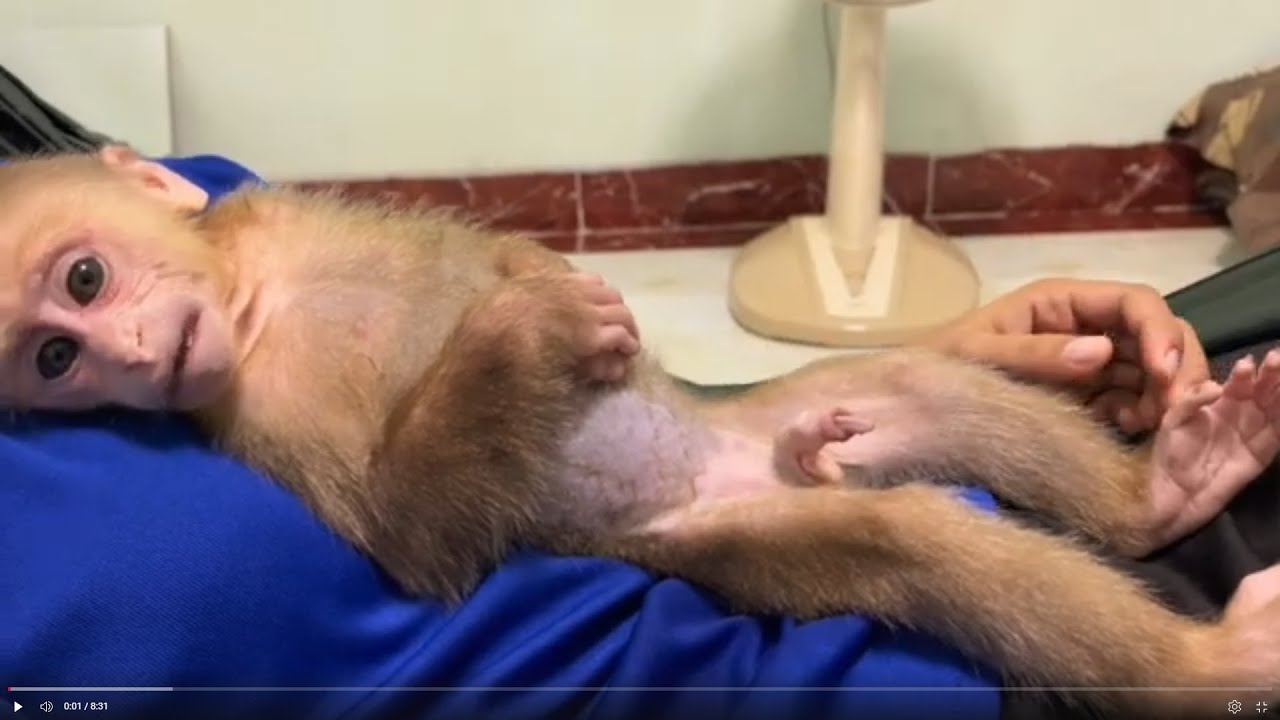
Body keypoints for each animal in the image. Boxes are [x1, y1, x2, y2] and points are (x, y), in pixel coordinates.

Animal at [0, 147, 1277, 719]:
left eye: (84, 278)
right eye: (50, 360)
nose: (118, 351)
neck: (257, 302)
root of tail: (748, 464)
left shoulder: (276, 220)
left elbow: (494, 253)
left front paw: (536, 292)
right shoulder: (254, 419)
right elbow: (419, 546)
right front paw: (521, 337)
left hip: (798, 420)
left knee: (919, 386)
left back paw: (1156, 492)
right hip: (731, 543)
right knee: (907, 545)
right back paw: (1196, 664)